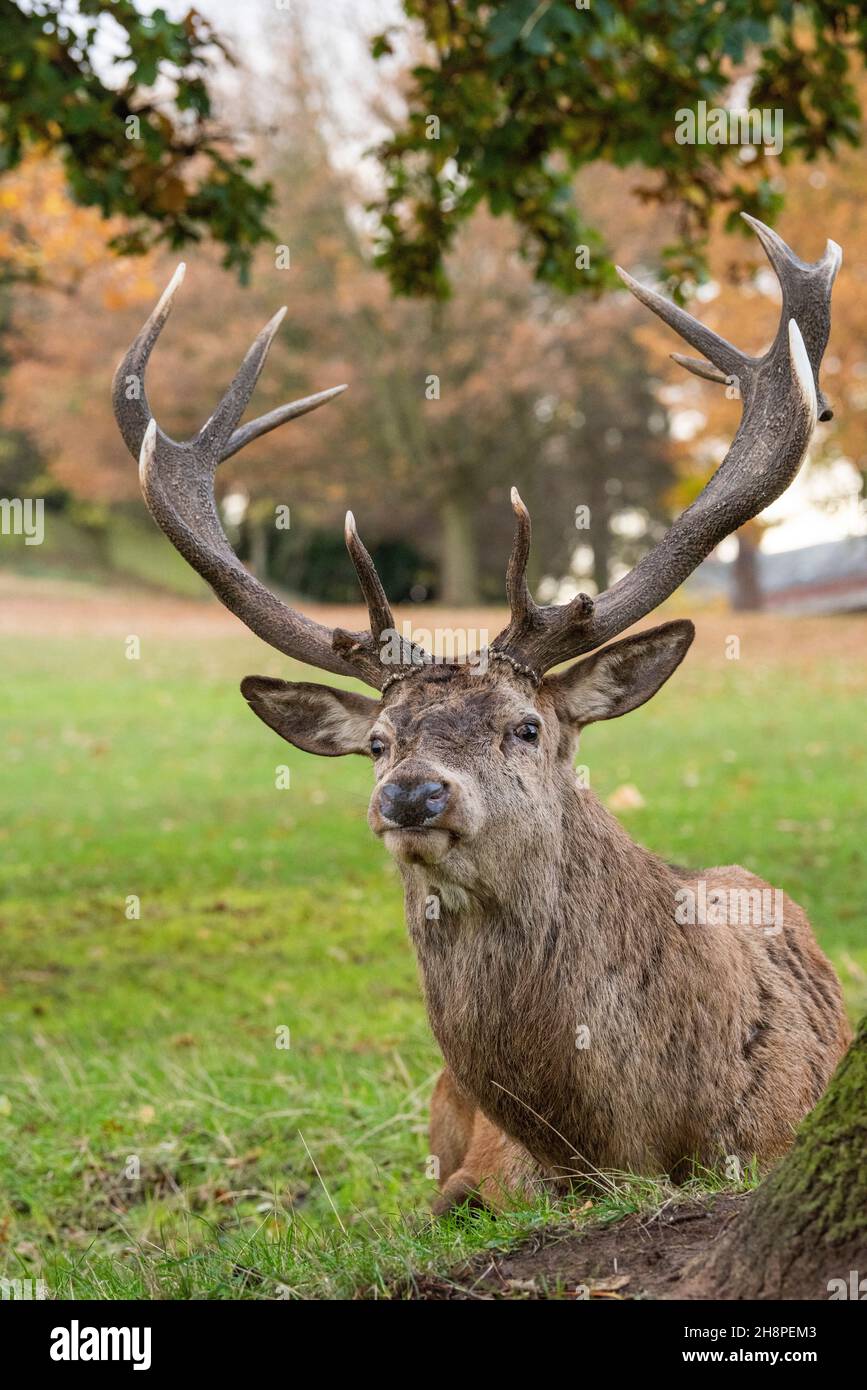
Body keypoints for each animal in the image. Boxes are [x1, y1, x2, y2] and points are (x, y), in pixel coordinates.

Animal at [112, 216, 850, 1213]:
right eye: (376, 743)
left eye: (525, 727)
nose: (412, 796)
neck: (630, 1141)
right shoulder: (478, 1172)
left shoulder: (774, 1136)